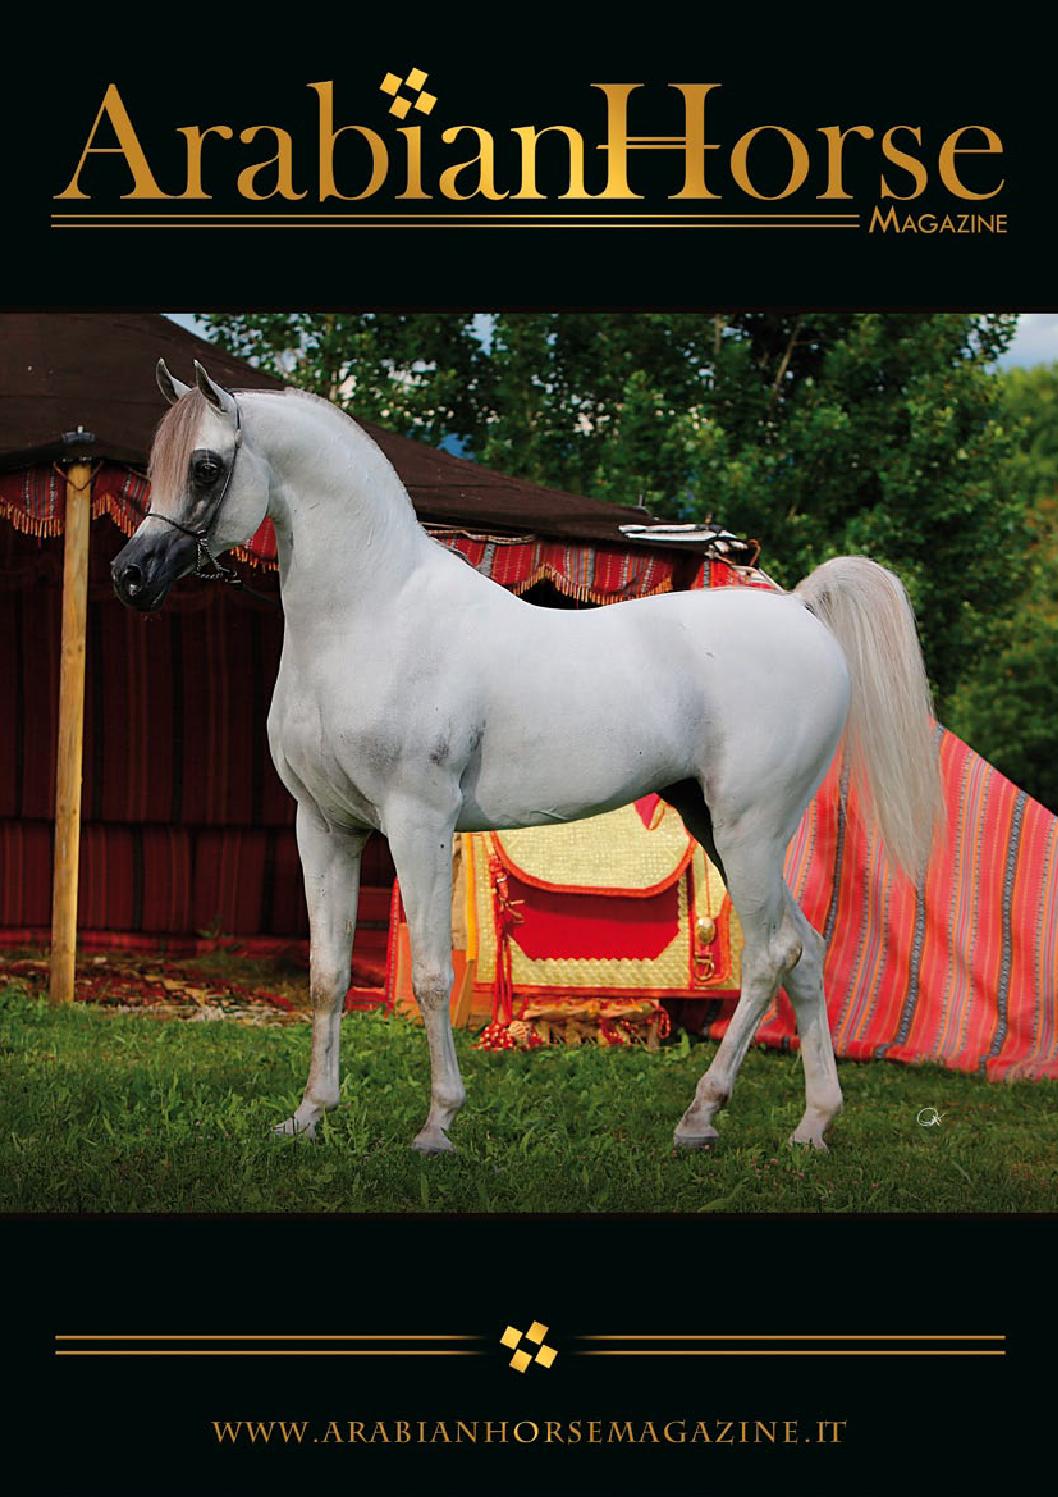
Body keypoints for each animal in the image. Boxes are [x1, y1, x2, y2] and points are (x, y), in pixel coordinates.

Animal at [111, 359, 943, 1157]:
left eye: (206, 467)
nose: (129, 575)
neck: (374, 616)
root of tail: (800, 610)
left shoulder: (417, 821)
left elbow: (434, 974)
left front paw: (437, 1124)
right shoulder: (324, 827)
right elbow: (327, 974)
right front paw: (309, 1116)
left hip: (751, 830)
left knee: (773, 954)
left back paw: (700, 1116)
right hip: (716, 825)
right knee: (807, 951)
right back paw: (811, 1126)